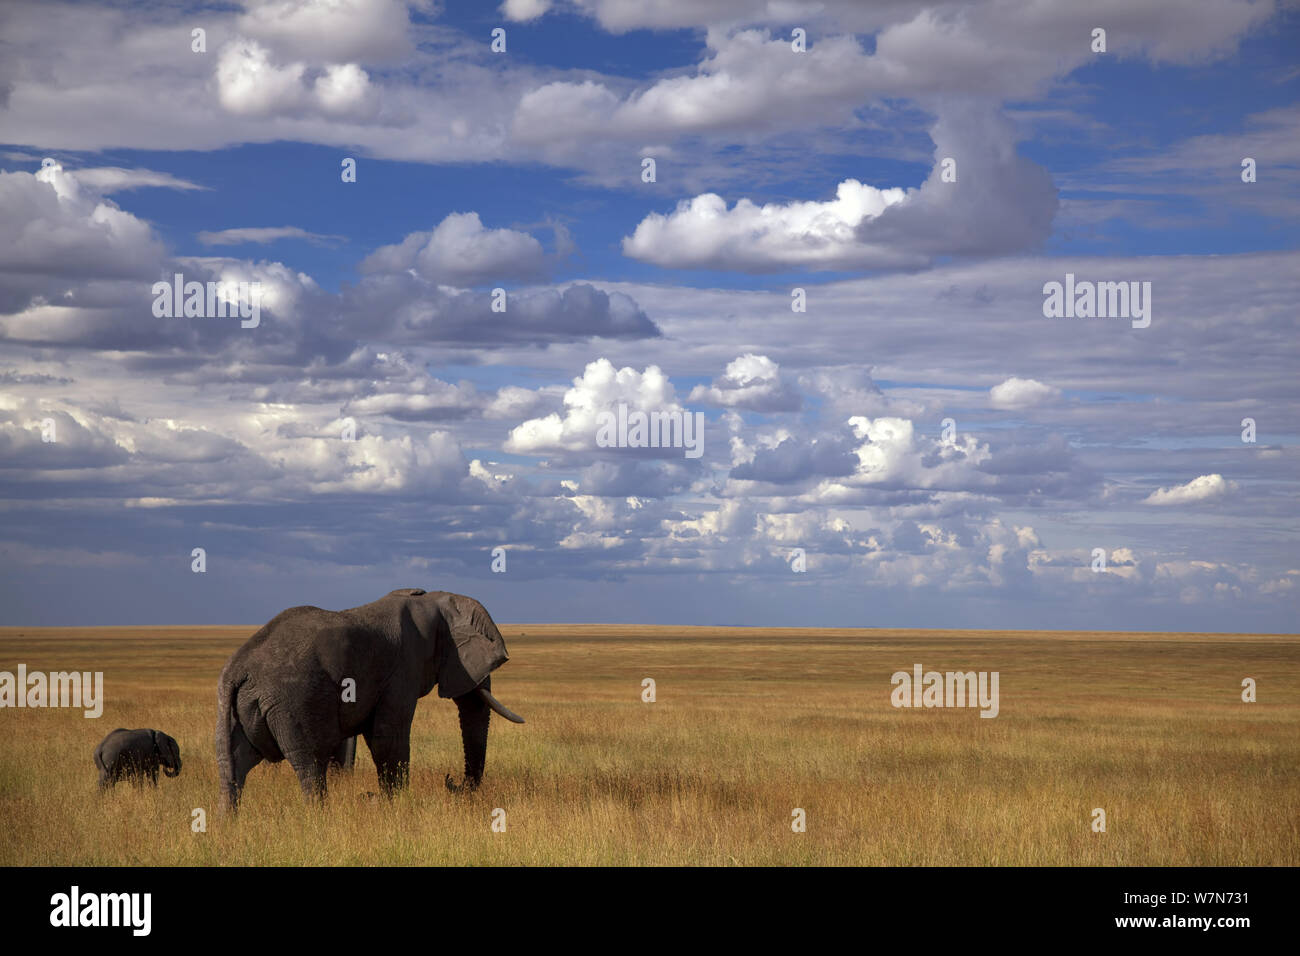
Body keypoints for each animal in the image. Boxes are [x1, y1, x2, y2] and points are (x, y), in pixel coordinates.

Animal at [215, 588, 523, 809]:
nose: (452, 781)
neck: (433, 600)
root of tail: (238, 670)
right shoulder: (402, 669)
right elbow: (387, 737)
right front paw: (395, 805)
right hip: (292, 705)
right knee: (311, 766)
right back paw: (319, 818)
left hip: (234, 709)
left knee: (233, 769)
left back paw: (228, 824)